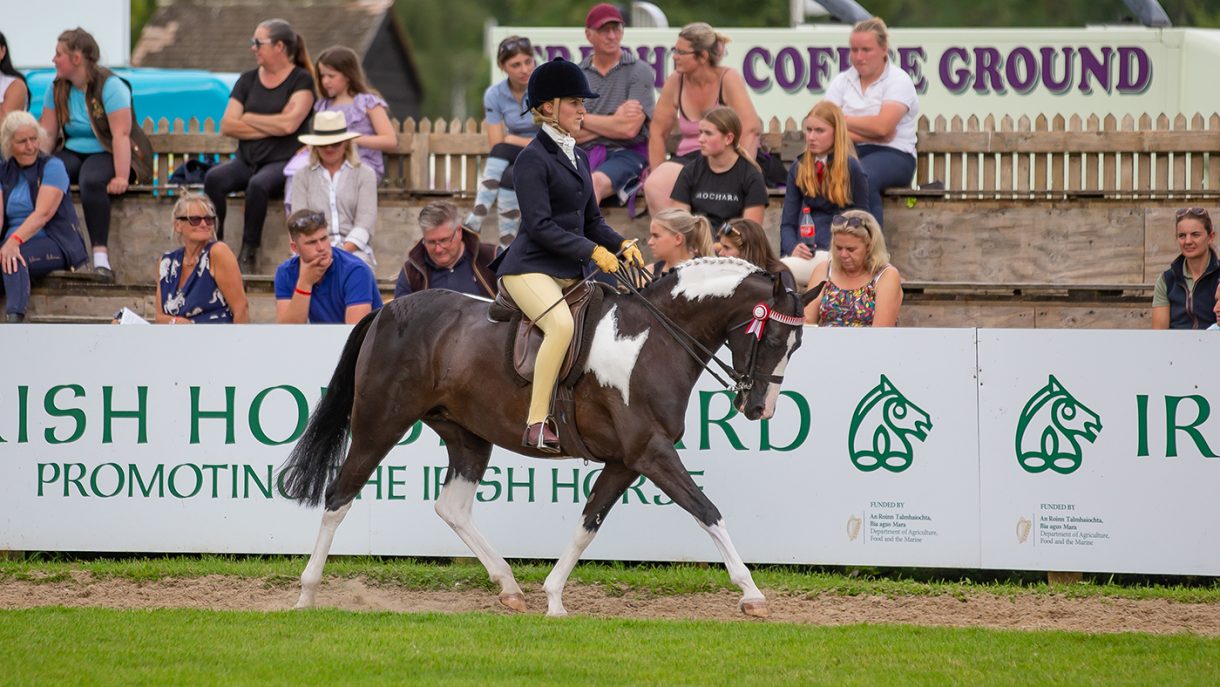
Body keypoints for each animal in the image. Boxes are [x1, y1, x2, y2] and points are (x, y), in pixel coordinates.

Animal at [278, 257, 820, 617]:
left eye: (797, 345)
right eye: (773, 338)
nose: (759, 409)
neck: (653, 340)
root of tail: (389, 310)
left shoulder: (625, 461)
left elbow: (588, 523)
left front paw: (554, 596)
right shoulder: (652, 452)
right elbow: (707, 511)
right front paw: (752, 594)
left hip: (467, 435)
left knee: (451, 507)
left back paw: (509, 586)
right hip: (380, 423)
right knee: (339, 496)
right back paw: (306, 593)